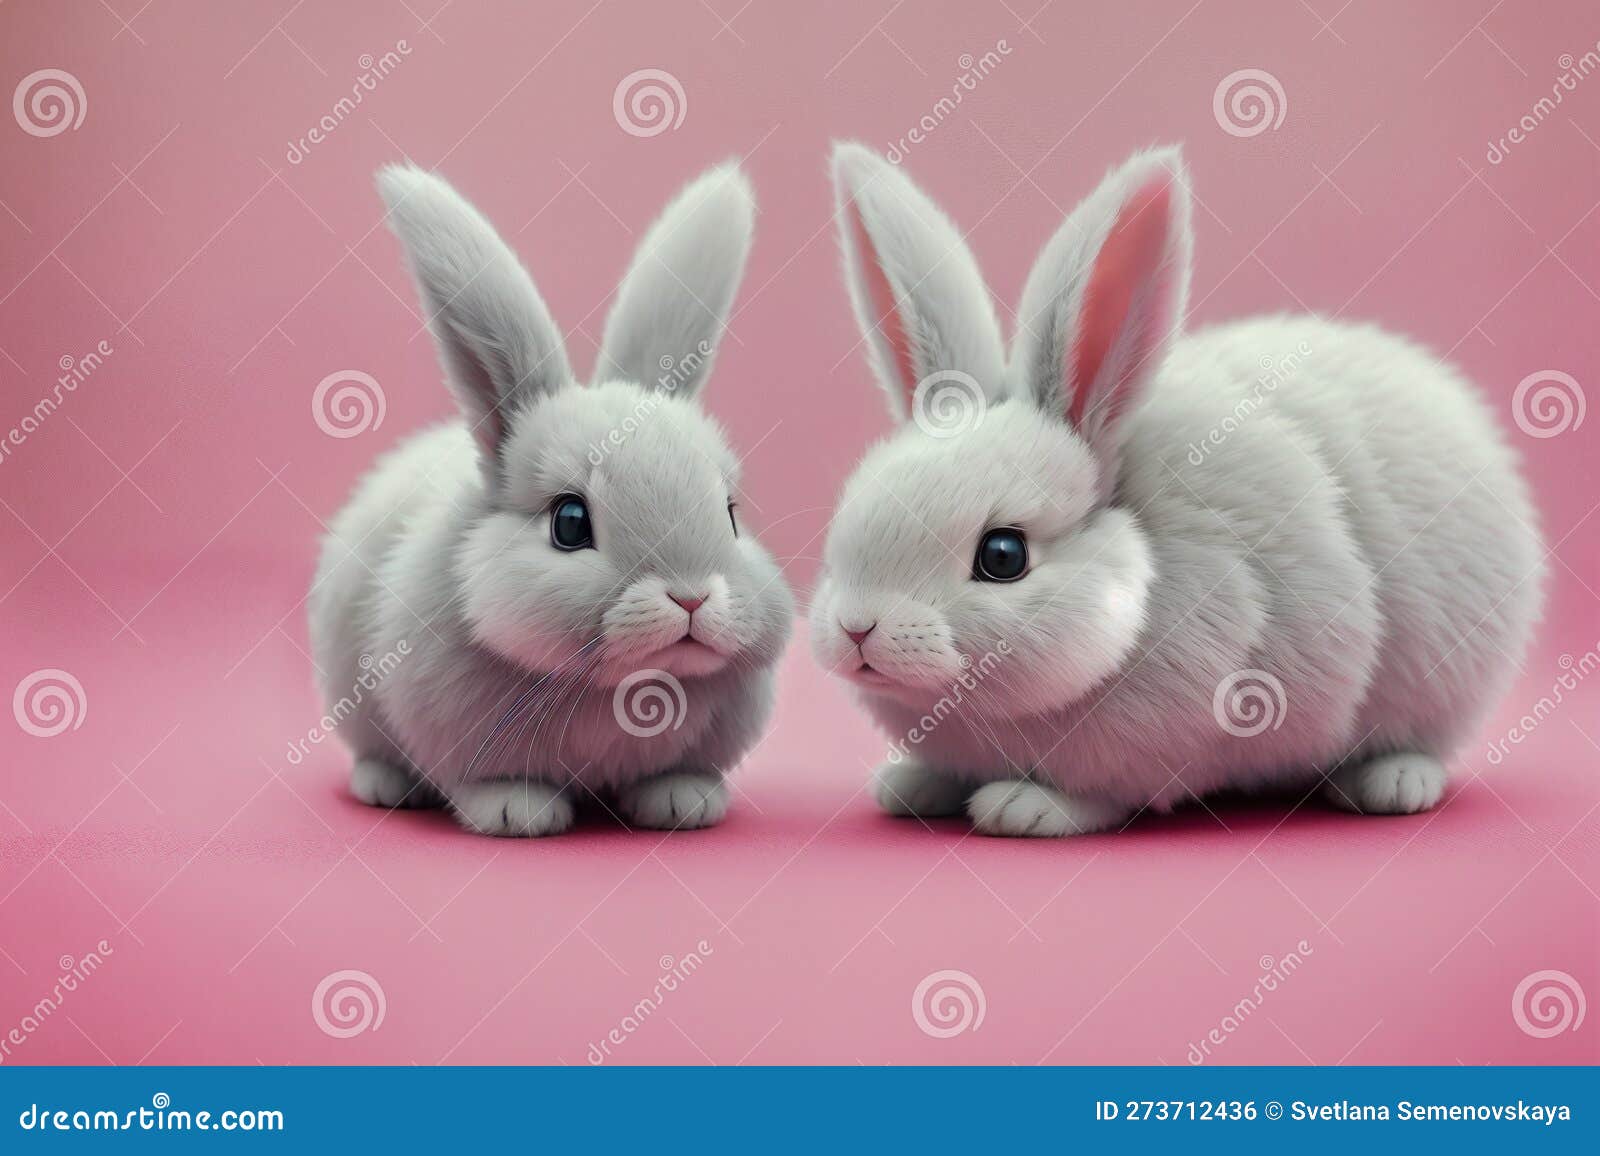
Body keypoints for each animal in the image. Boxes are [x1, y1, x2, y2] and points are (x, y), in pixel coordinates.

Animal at [309, 161, 793, 836]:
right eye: (569, 523)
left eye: (729, 514)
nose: (692, 597)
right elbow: (491, 782)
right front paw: (518, 812)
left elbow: (674, 776)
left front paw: (682, 803)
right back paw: (388, 787)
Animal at [809, 141, 1544, 837]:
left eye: (1002, 556)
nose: (857, 626)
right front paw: (911, 786)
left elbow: (1103, 795)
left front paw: (1027, 808)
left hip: (1449, 681)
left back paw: (1392, 783)